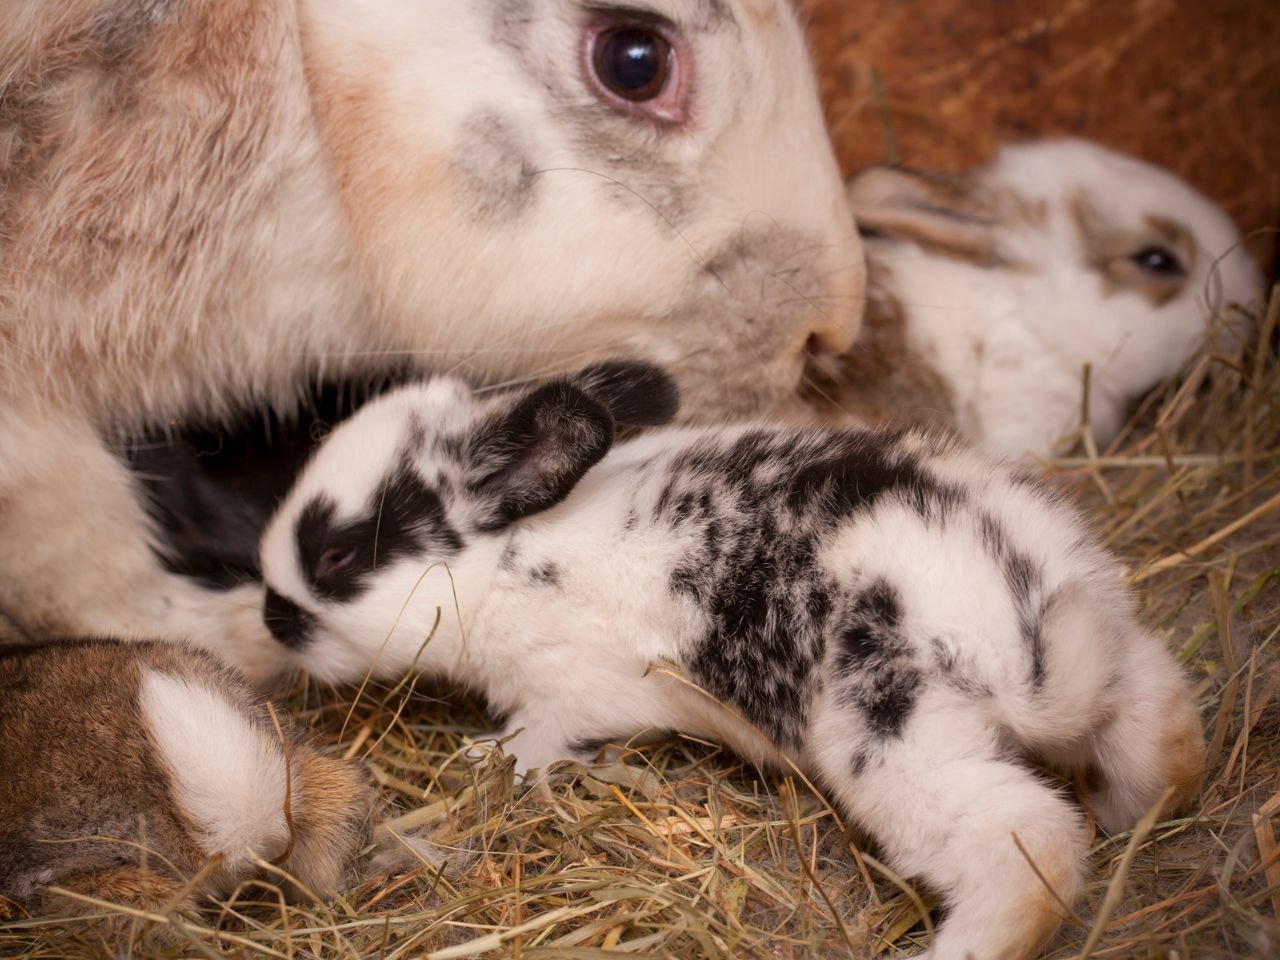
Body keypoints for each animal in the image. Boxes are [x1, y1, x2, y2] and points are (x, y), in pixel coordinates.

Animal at [0, 0, 863, 681]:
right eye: (635, 60)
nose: (832, 329)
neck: (306, 83)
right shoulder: (29, 424)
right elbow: (85, 568)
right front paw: (243, 637)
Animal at [257, 359, 1206, 960]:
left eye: (337, 554)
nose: (272, 617)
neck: (512, 555)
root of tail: (1022, 637)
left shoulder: (566, 691)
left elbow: (540, 736)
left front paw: (488, 758)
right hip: (1118, 661)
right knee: (1159, 727)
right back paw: (1131, 808)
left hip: (901, 745)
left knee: (1029, 849)